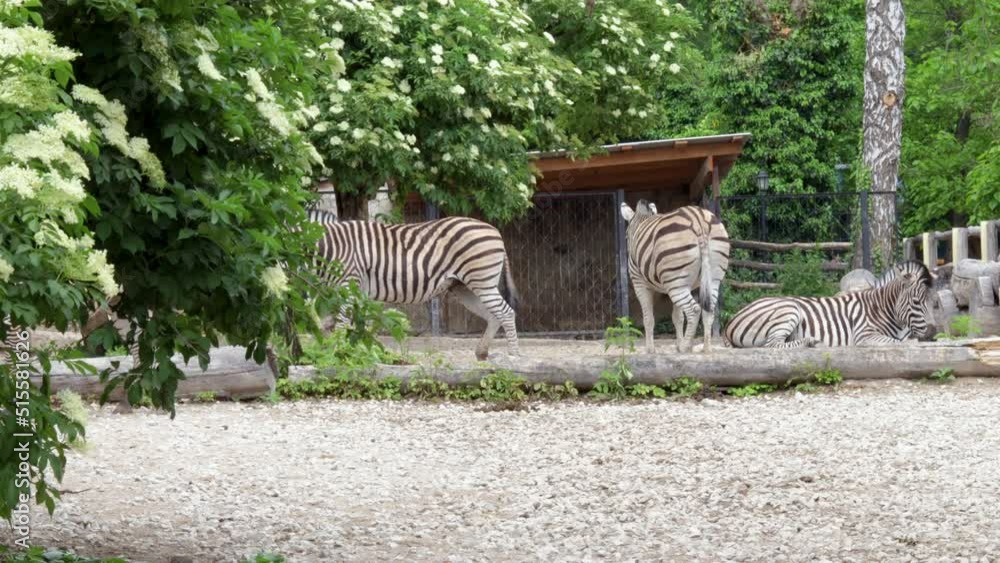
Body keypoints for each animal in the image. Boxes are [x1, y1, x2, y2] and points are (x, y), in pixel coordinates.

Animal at [305, 209, 519, 360]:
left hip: (482, 283)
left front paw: (339, 352)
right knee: (494, 316)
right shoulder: (353, 292)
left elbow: (342, 324)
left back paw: (513, 357)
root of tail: (494, 230)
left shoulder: (350, 284)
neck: (334, 247)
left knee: (507, 312)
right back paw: (482, 353)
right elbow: (344, 324)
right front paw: (350, 351)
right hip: (465, 288)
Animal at [620, 201, 730, 354]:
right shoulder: (684, 285)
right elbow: (678, 318)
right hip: (709, 280)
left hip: (675, 285)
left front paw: (650, 349)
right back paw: (706, 348)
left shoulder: (639, 283)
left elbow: (648, 318)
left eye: (625, 236)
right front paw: (678, 343)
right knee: (708, 312)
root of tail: (698, 221)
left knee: (694, 311)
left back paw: (685, 347)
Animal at [724, 260, 936, 348]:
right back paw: (811, 342)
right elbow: (901, 342)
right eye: (916, 302)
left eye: (934, 302)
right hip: (789, 309)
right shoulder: (864, 335)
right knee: (772, 344)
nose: (933, 332)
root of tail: (730, 322)